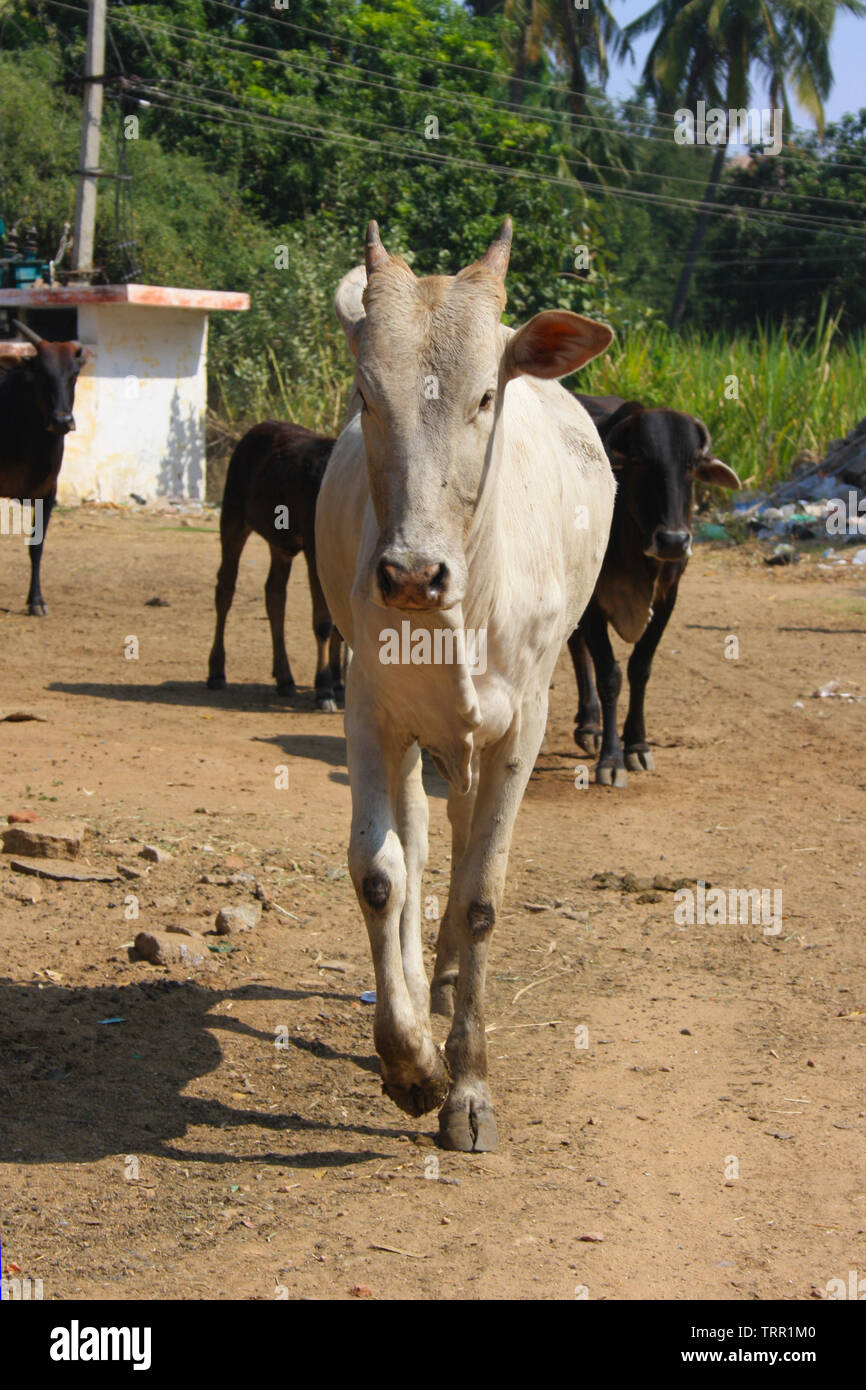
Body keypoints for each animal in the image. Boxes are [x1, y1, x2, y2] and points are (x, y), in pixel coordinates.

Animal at [0, 320, 86, 615]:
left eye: (74, 374)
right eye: (42, 373)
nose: (61, 421)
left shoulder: (48, 493)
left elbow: (36, 547)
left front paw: (36, 601)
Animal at [207, 421, 344, 710]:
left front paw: (338, 685)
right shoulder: (315, 552)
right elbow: (324, 622)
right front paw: (324, 687)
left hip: (280, 544)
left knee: (275, 595)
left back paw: (285, 678)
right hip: (233, 516)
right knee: (225, 589)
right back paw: (216, 671)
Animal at [315, 219, 615, 1151]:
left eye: (486, 396)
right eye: (367, 396)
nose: (413, 572)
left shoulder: (525, 722)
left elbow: (483, 894)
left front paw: (470, 1086)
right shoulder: (369, 709)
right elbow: (381, 872)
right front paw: (412, 1063)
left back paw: (447, 978)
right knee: (418, 841)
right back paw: (422, 984)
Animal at [569, 394, 741, 787]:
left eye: (690, 465)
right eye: (641, 460)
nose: (674, 541)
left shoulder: (667, 599)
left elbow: (640, 669)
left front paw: (637, 745)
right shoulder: (594, 604)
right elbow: (609, 675)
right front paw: (612, 758)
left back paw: (591, 725)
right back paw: (590, 725)